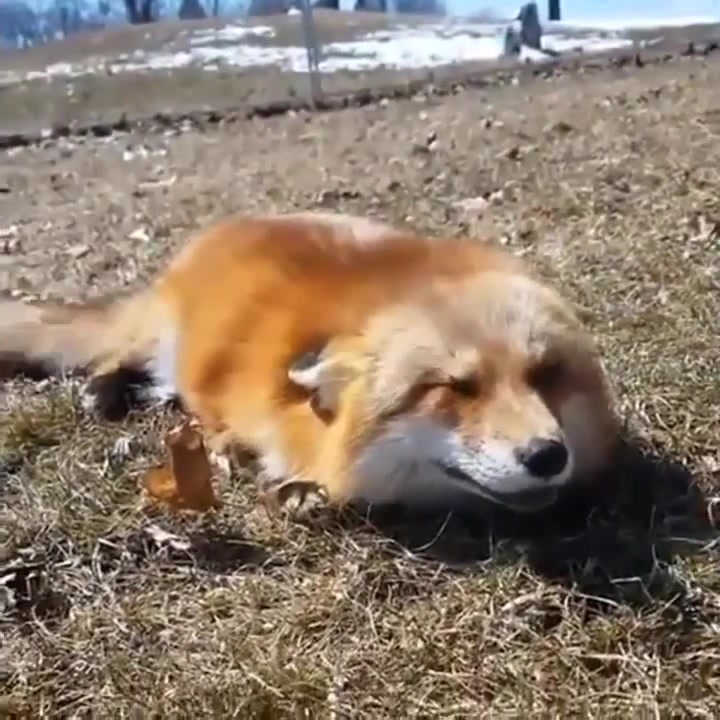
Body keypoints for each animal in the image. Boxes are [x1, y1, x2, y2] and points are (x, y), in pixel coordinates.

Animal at [0, 211, 620, 515]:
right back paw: (108, 390)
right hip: (160, 334)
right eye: (452, 387)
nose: (547, 455)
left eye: (545, 375)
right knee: (126, 356)